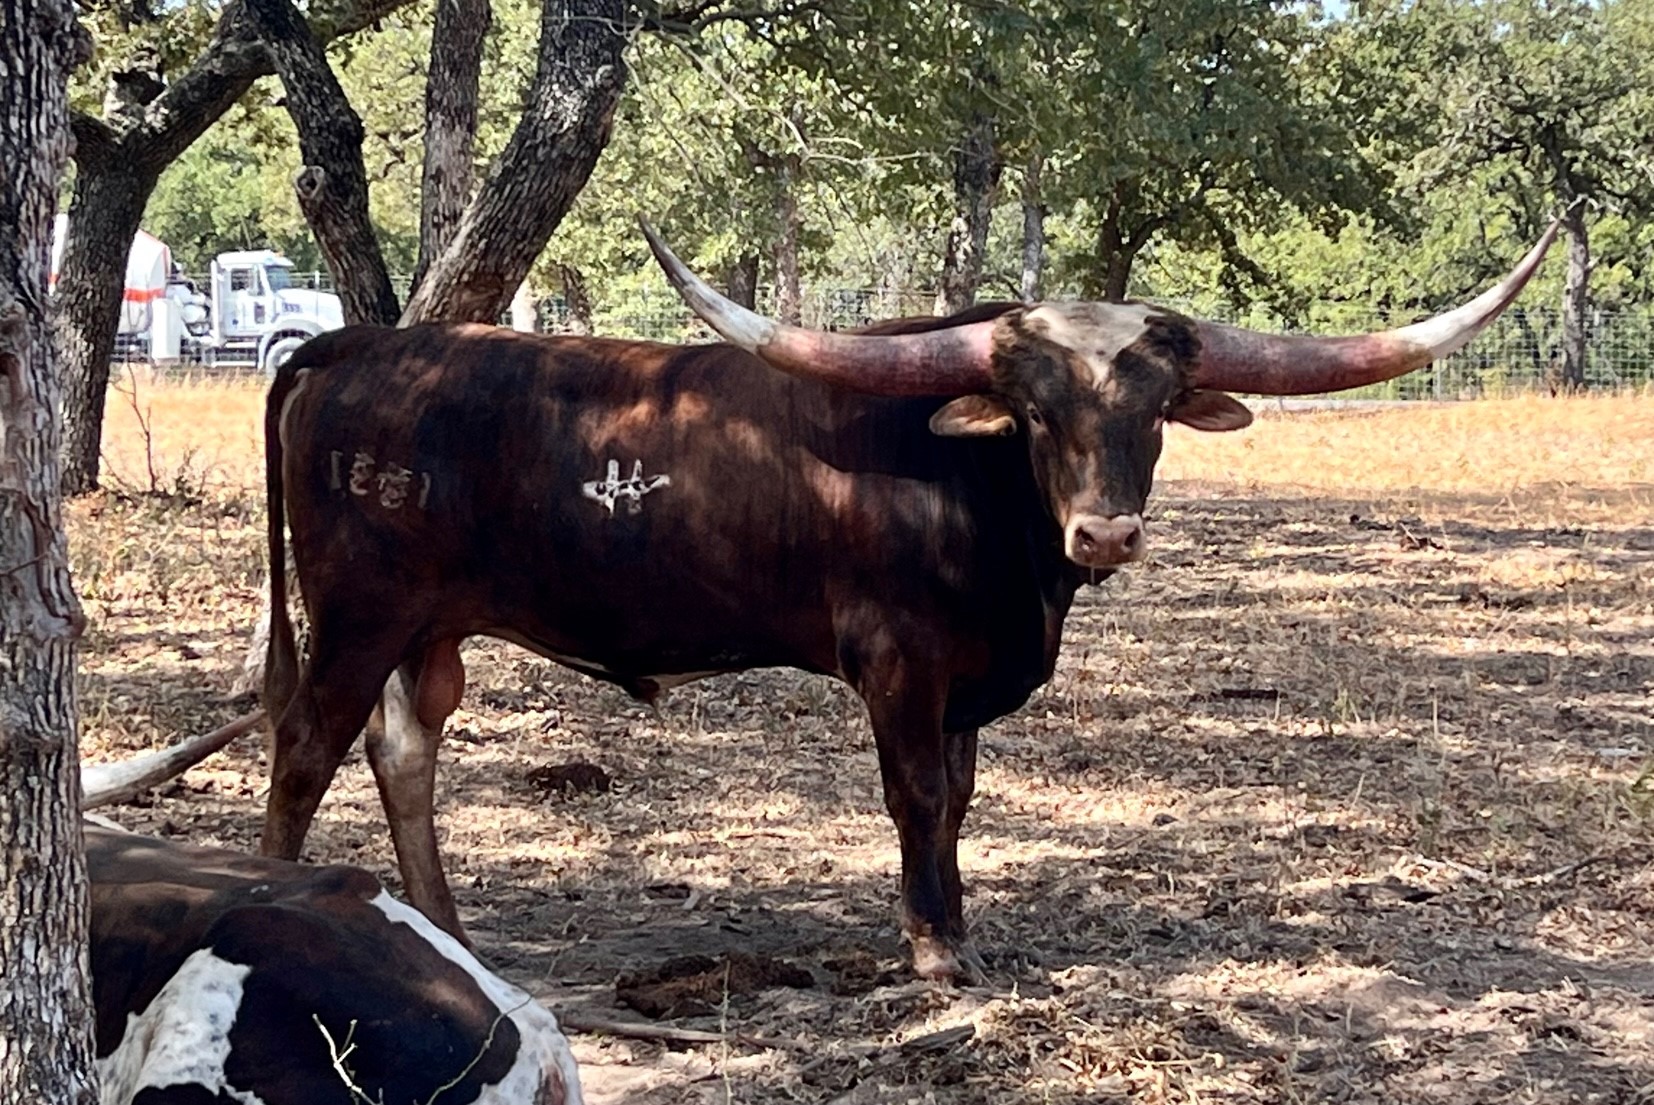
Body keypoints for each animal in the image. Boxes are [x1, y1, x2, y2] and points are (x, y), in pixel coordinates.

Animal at [258, 220, 1558, 981]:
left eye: (1148, 413)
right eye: (1034, 410)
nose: (1106, 530)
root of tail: (360, 345)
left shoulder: (967, 681)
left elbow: (960, 801)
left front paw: (959, 924)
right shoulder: (899, 662)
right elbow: (917, 794)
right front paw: (933, 951)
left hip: (429, 627)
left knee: (402, 748)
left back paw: (453, 935)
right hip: (360, 611)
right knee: (307, 745)